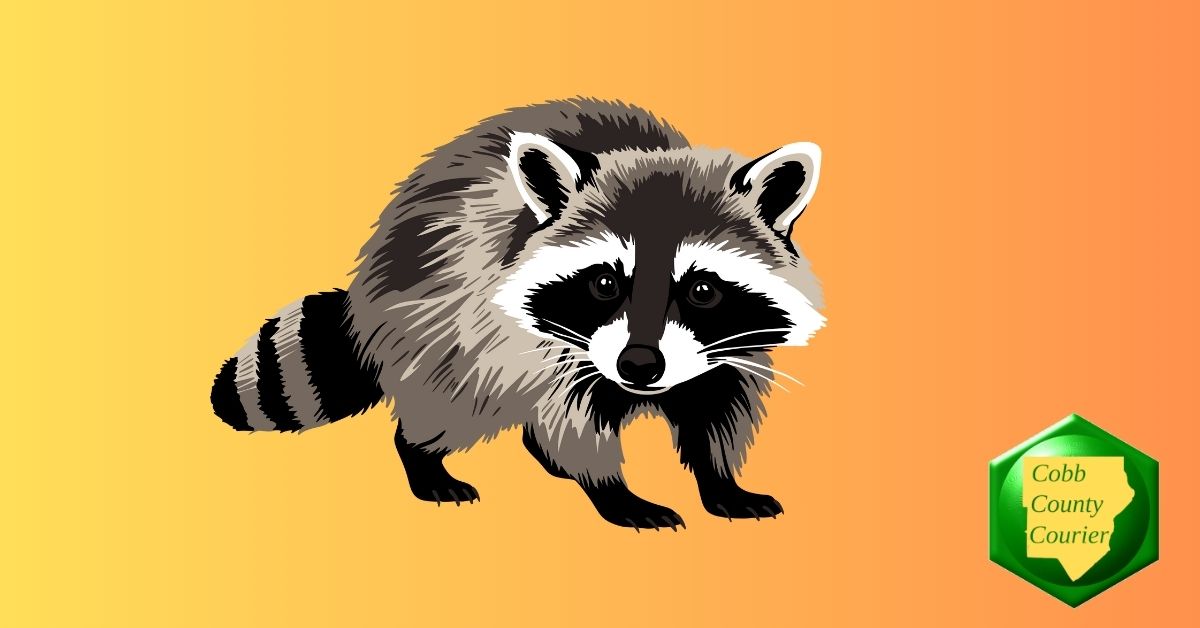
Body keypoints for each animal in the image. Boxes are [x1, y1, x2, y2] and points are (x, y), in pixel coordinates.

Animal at [211, 98, 824, 530]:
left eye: (701, 290)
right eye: (605, 283)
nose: (640, 366)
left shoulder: (727, 353)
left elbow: (715, 415)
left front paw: (720, 482)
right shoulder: (545, 346)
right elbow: (573, 422)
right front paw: (612, 491)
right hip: (447, 328)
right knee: (455, 402)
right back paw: (422, 456)